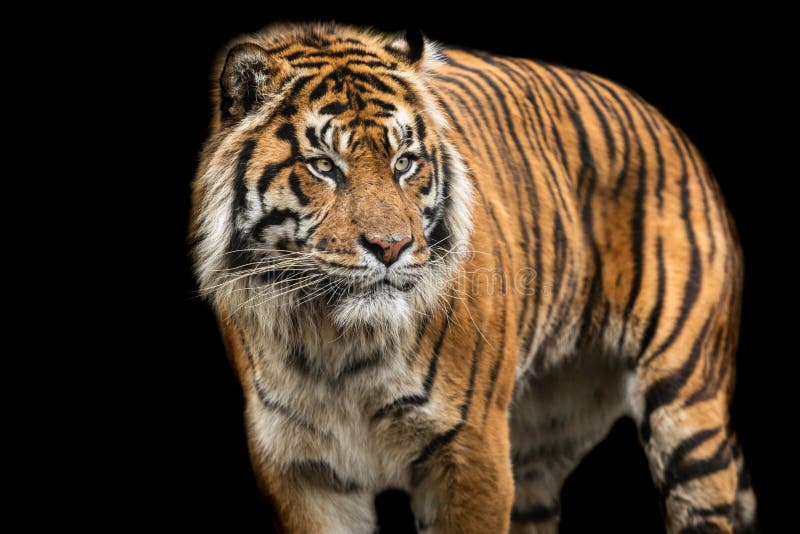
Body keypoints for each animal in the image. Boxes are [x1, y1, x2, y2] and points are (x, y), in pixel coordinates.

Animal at [190, 22, 758, 533]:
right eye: (324, 166)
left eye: (404, 162)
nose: (391, 247)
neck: (340, 347)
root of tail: (669, 127)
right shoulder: (302, 470)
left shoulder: (469, 450)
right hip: (538, 441)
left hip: (687, 408)